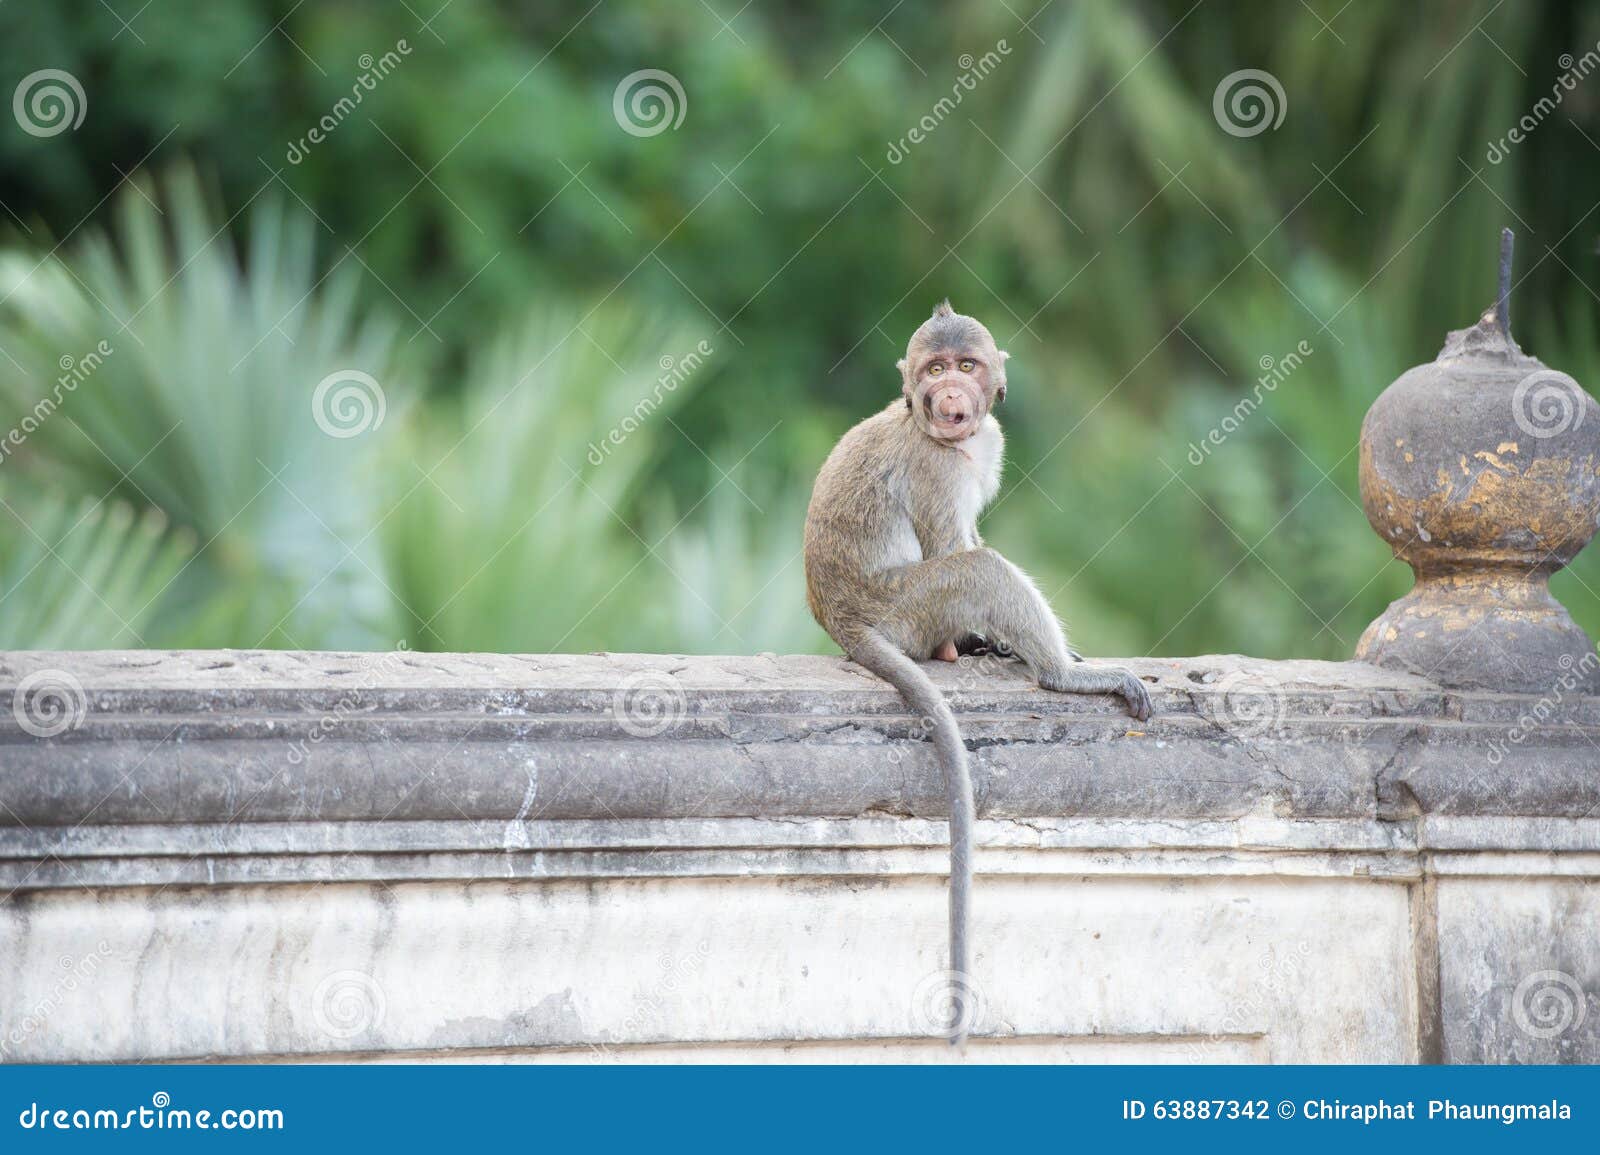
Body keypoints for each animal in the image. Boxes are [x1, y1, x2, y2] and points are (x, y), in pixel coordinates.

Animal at [802, 300, 1152, 1046]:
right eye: (934, 370)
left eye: (966, 365)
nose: (951, 396)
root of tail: (843, 618)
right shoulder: (938, 468)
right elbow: (955, 544)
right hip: (909, 606)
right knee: (977, 571)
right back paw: (1058, 675)